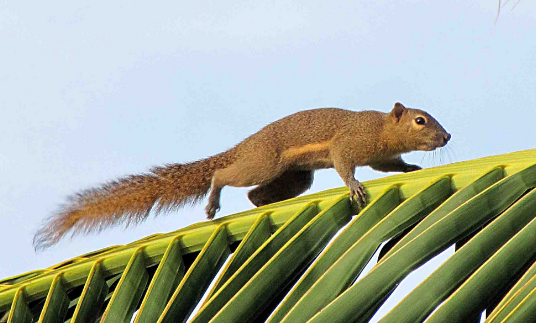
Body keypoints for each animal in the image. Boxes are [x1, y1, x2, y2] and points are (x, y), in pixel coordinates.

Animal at [33, 102, 448, 249]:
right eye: (420, 120)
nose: (446, 137)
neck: (381, 129)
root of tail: (243, 146)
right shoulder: (347, 144)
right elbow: (346, 166)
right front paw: (355, 187)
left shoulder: (381, 157)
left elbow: (389, 167)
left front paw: (412, 168)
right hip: (262, 164)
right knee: (222, 173)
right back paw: (213, 201)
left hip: (294, 178)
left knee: (255, 195)